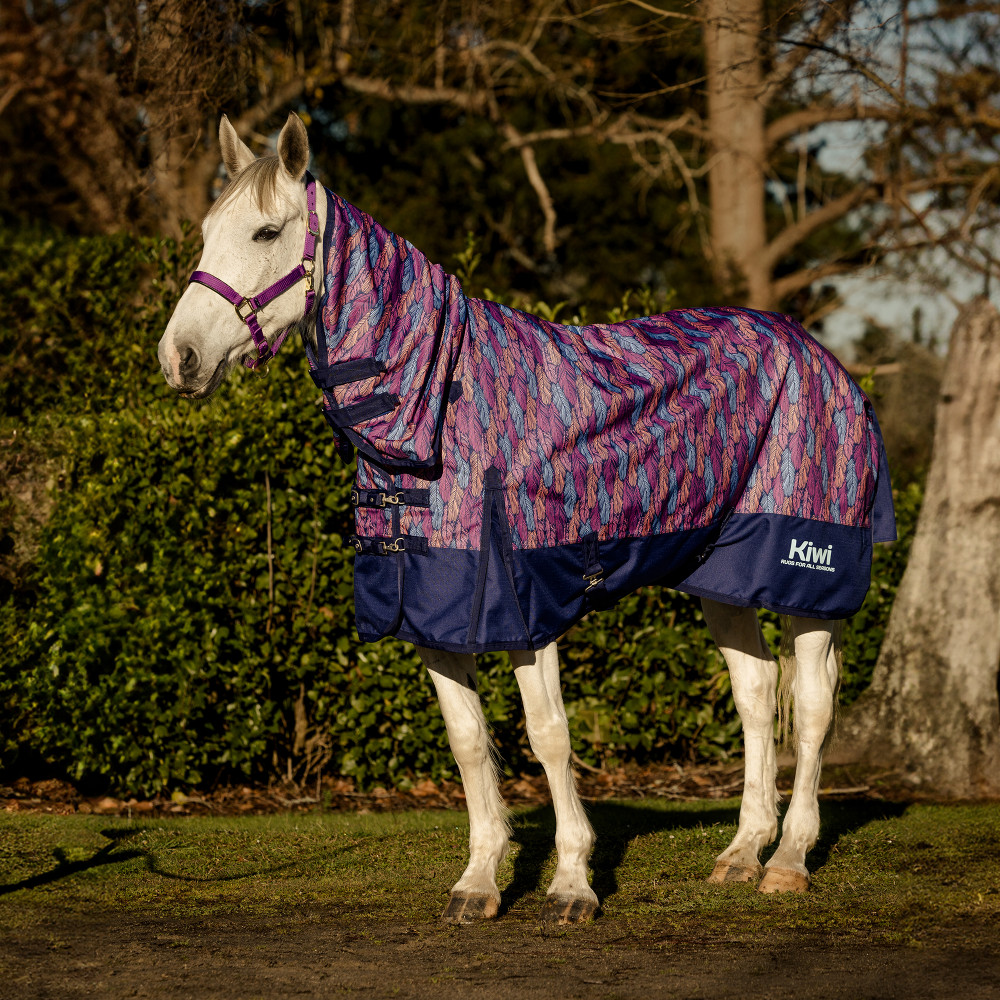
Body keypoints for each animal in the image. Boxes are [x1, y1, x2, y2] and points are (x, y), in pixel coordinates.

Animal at [158, 113, 895, 924]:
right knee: (757, 696)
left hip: (805, 572)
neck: (441, 409)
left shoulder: (524, 605)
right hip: (723, 577)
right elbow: (468, 740)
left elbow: (549, 738)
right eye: (205, 231)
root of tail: (825, 360)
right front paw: (480, 880)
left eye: (265, 232)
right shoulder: (435, 612)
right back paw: (740, 853)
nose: (178, 357)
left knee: (814, 706)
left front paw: (573, 882)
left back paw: (788, 860)